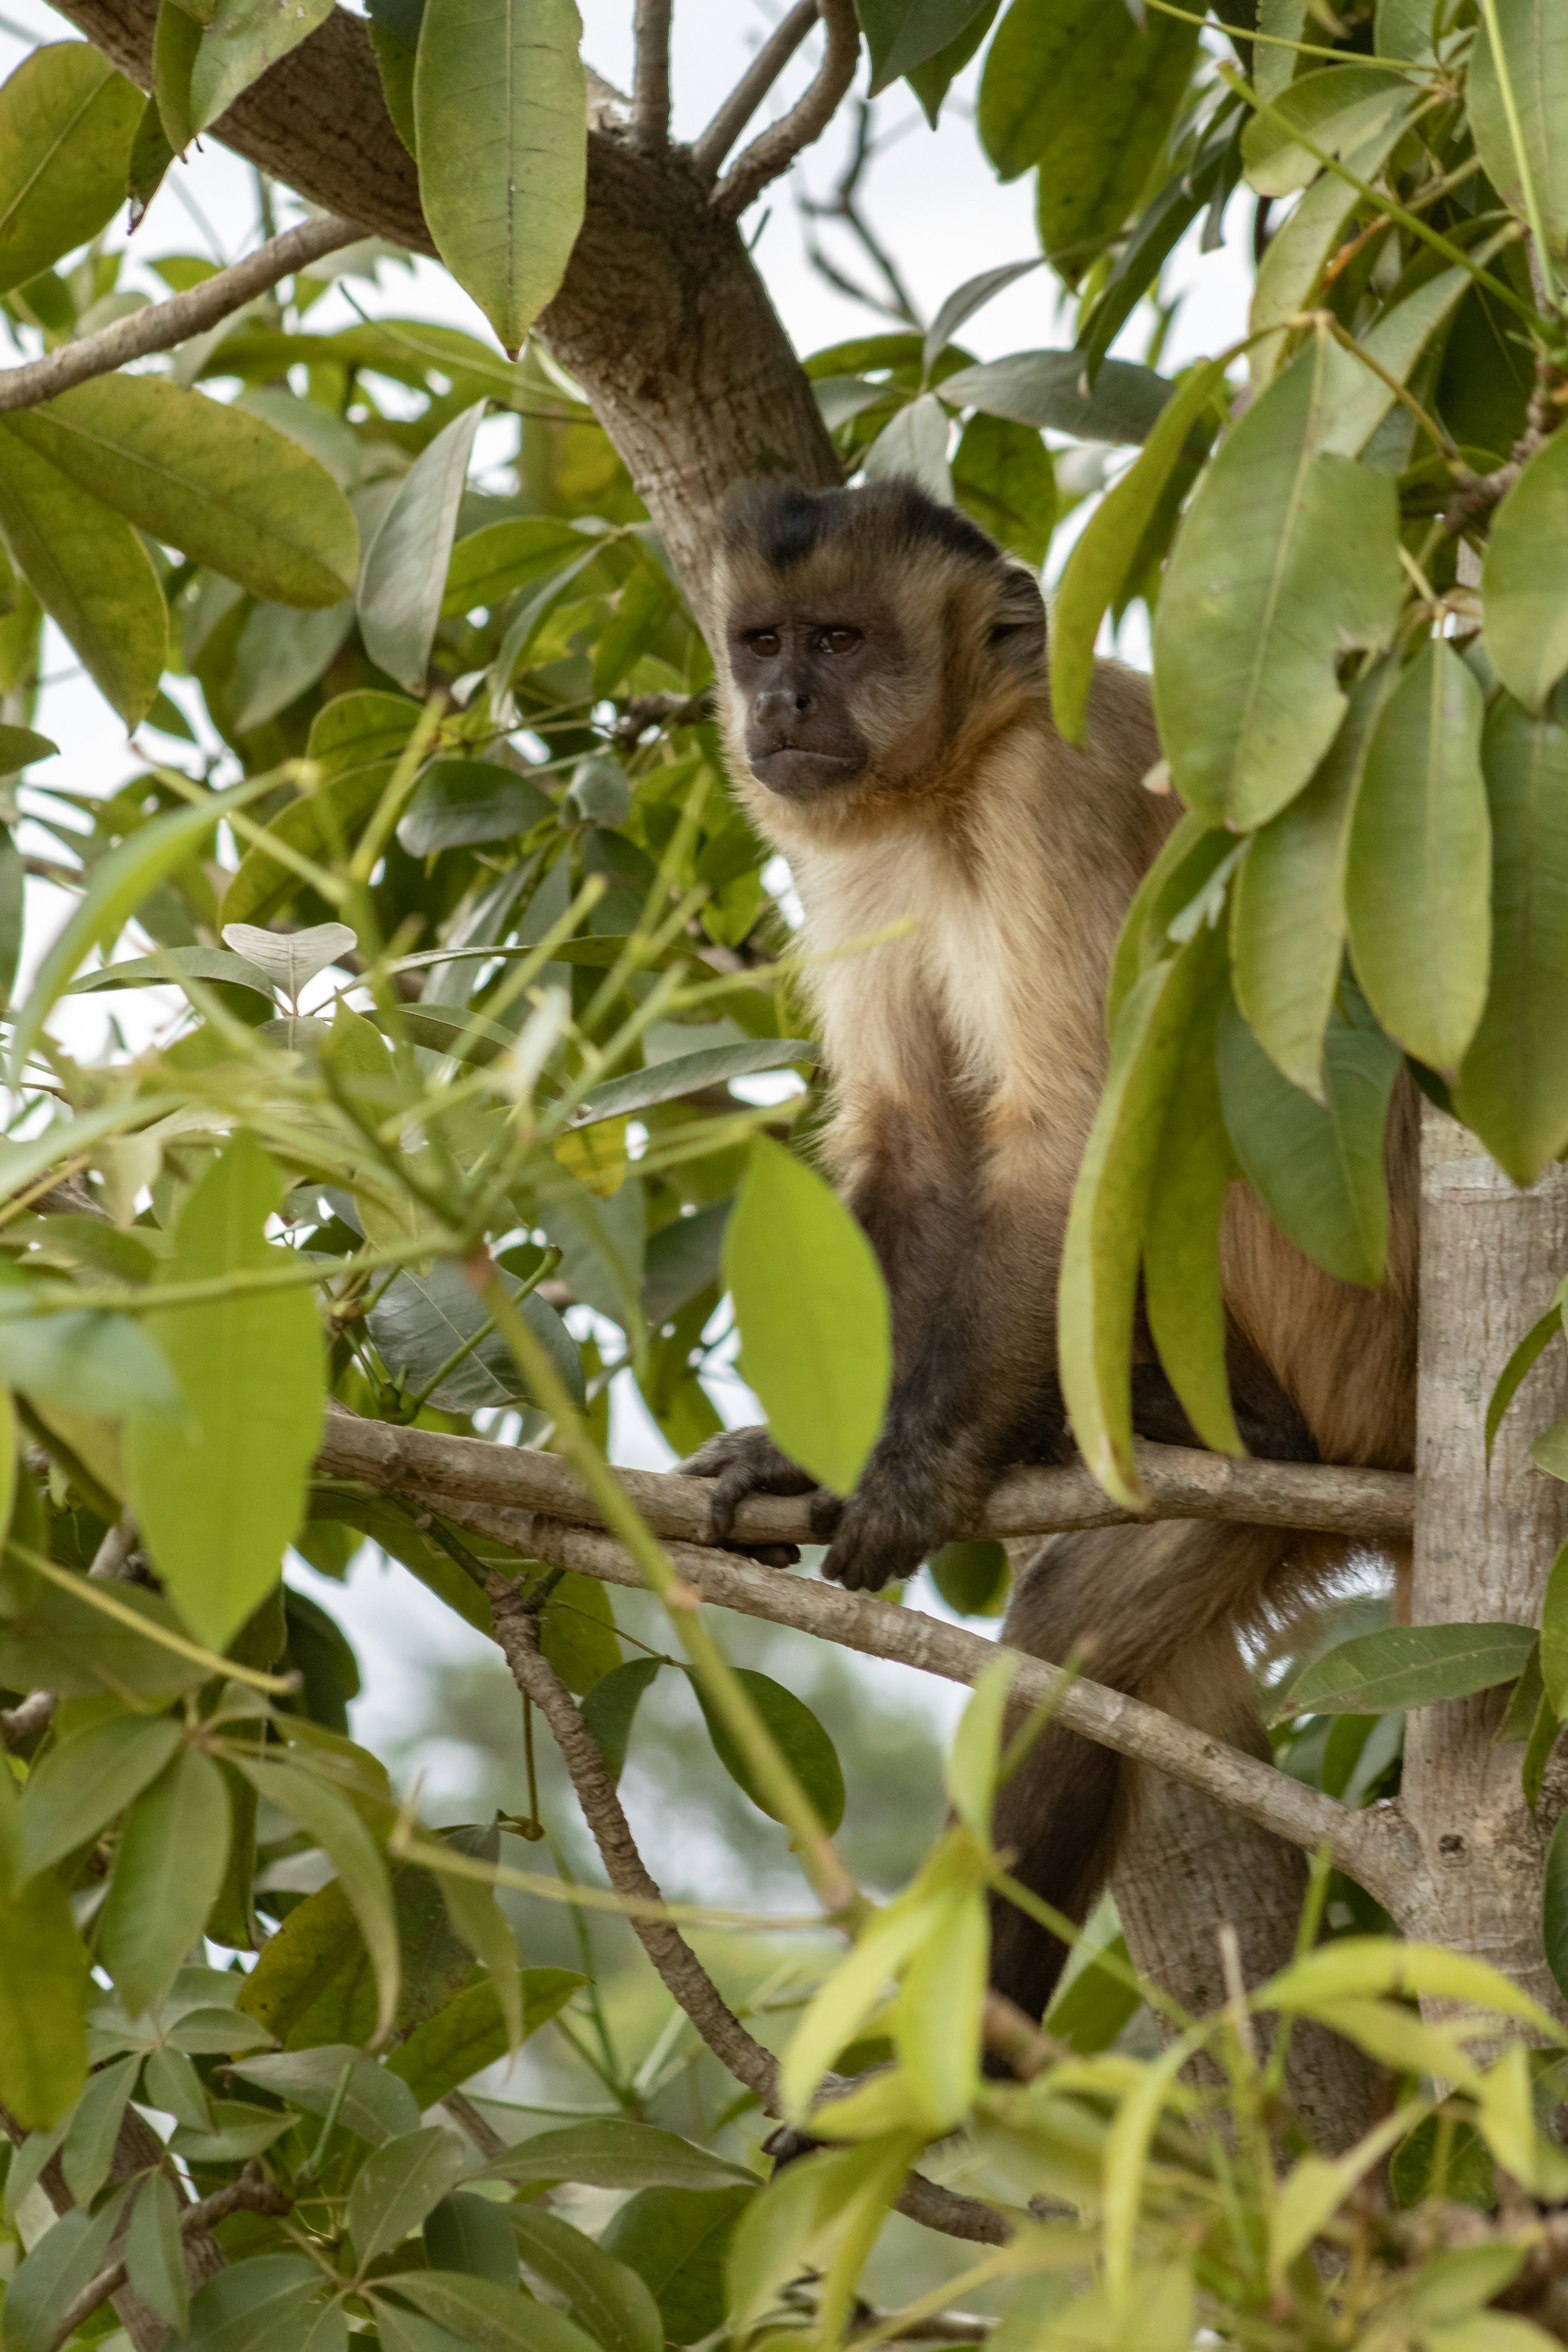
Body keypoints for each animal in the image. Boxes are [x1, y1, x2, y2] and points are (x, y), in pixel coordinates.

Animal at [682, 475, 1418, 2023]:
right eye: (764, 638)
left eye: (839, 639)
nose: (780, 697)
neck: (952, 778)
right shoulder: (847, 858)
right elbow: (914, 1140)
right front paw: (807, 1451)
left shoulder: (1049, 793)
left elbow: (1072, 1123)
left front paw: (914, 1465)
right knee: (1072, 1643)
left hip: (1340, 1328)